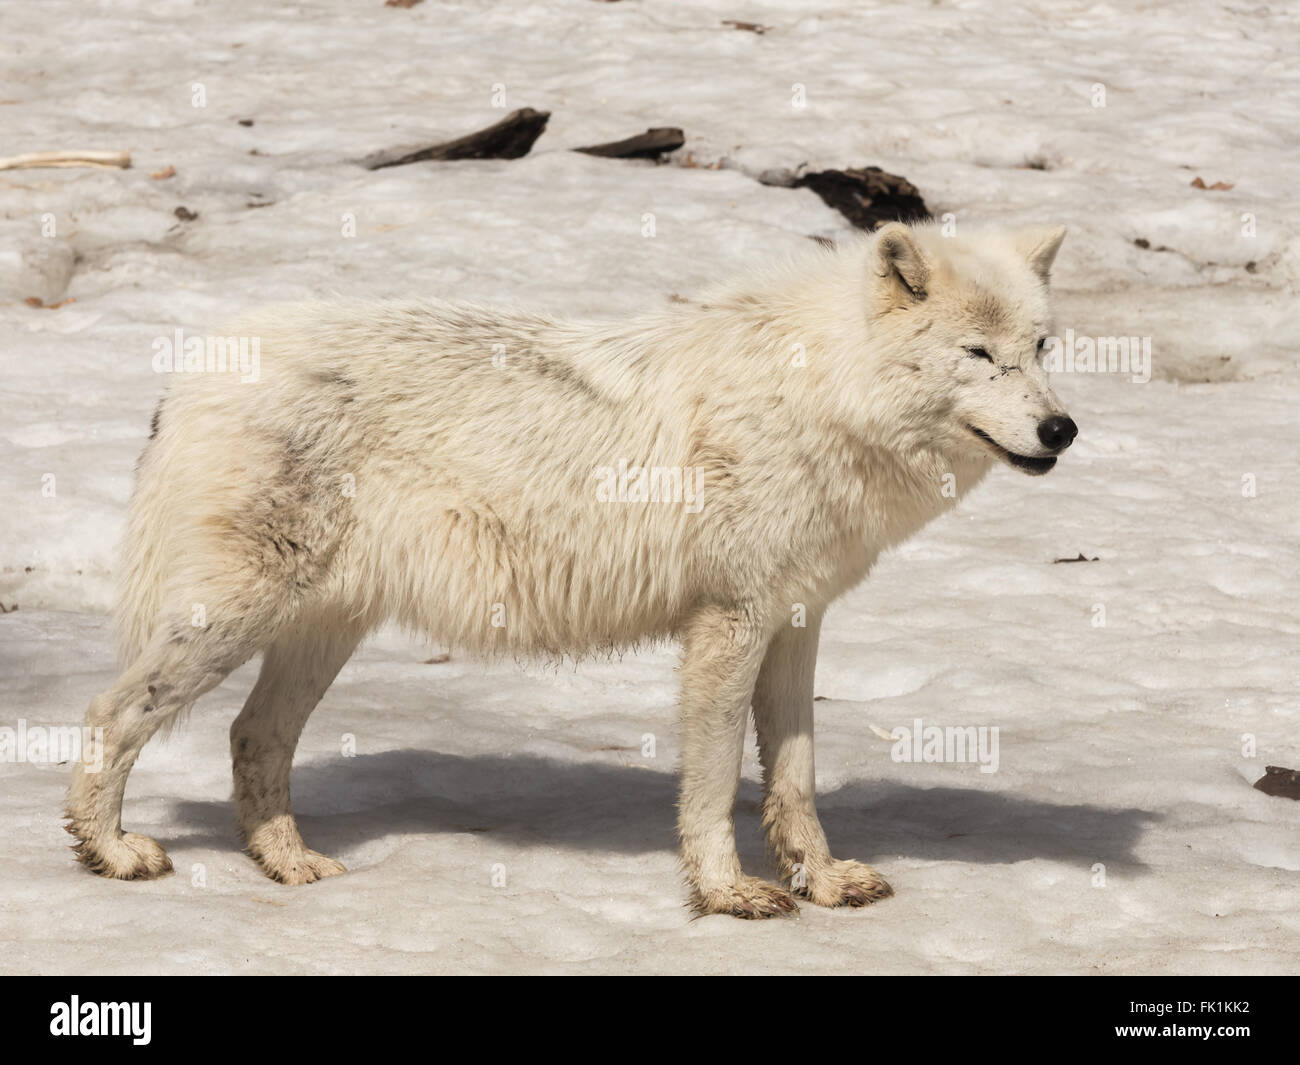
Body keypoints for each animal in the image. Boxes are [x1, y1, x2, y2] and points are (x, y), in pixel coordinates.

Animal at [65, 221, 1076, 918]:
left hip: (322, 631)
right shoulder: (729, 624)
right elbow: (715, 785)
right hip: (229, 621)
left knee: (253, 736)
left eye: (1039, 350)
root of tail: (193, 369)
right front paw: (727, 895)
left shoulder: (795, 622)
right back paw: (110, 853)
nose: (1062, 429)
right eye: (978, 355)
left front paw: (820, 881)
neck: (819, 393)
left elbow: (794, 780)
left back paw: (288, 864)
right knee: (111, 713)